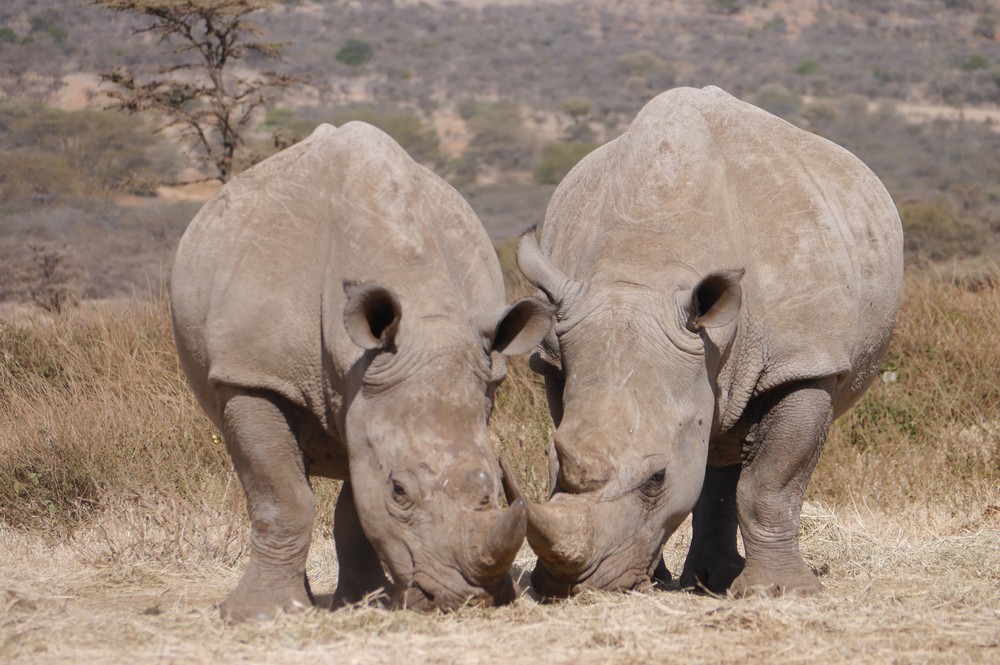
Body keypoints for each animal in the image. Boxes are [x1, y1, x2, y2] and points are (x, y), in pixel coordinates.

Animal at [170, 122, 553, 621]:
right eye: (399, 491)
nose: (471, 598)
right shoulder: (251, 374)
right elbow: (280, 495)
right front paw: (261, 615)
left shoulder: (387, 390)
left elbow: (355, 507)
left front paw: (368, 603)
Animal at [512, 86, 903, 598]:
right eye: (548, 460)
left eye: (657, 479)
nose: (574, 586)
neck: (645, 269)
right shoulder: (558, 356)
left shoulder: (803, 362)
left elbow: (770, 484)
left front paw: (779, 593)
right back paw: (703, 581)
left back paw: (717, 582)